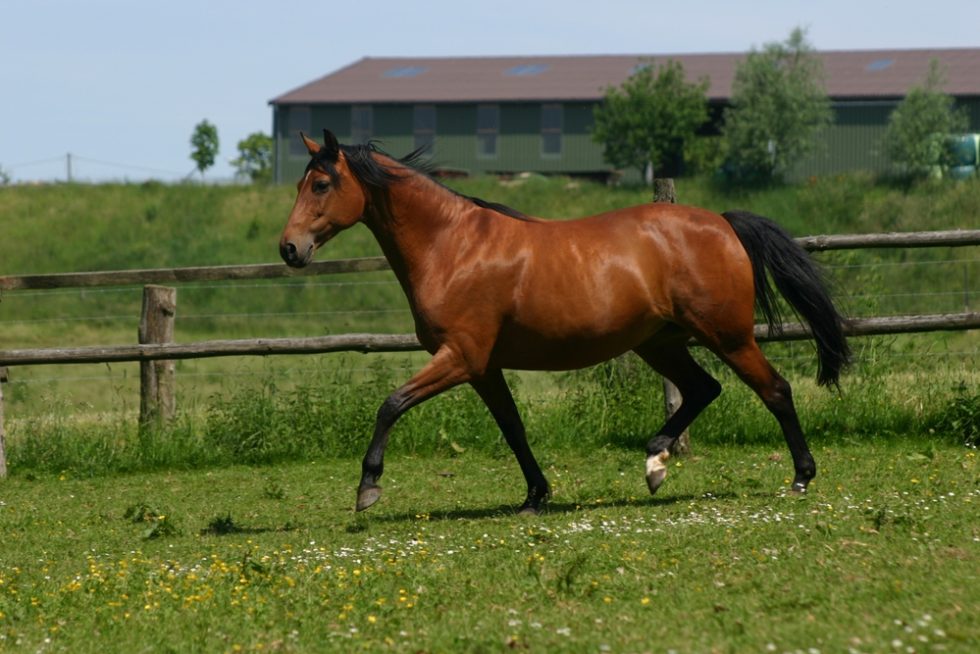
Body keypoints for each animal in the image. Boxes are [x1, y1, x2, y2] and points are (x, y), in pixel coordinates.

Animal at [279, 129, 850, 515]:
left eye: (322, 183)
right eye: (301, 183)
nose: (289, 249)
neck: (451, 246)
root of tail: (724, 224)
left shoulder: (460, 357)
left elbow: (391, 404)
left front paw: (367, 488)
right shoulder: (482, 367)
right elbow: (512, 428)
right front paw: (536, 496)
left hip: (727, 336)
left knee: (774, 390)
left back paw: (801, 477)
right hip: (659, 343)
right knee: (702, 389)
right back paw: (655, 464)